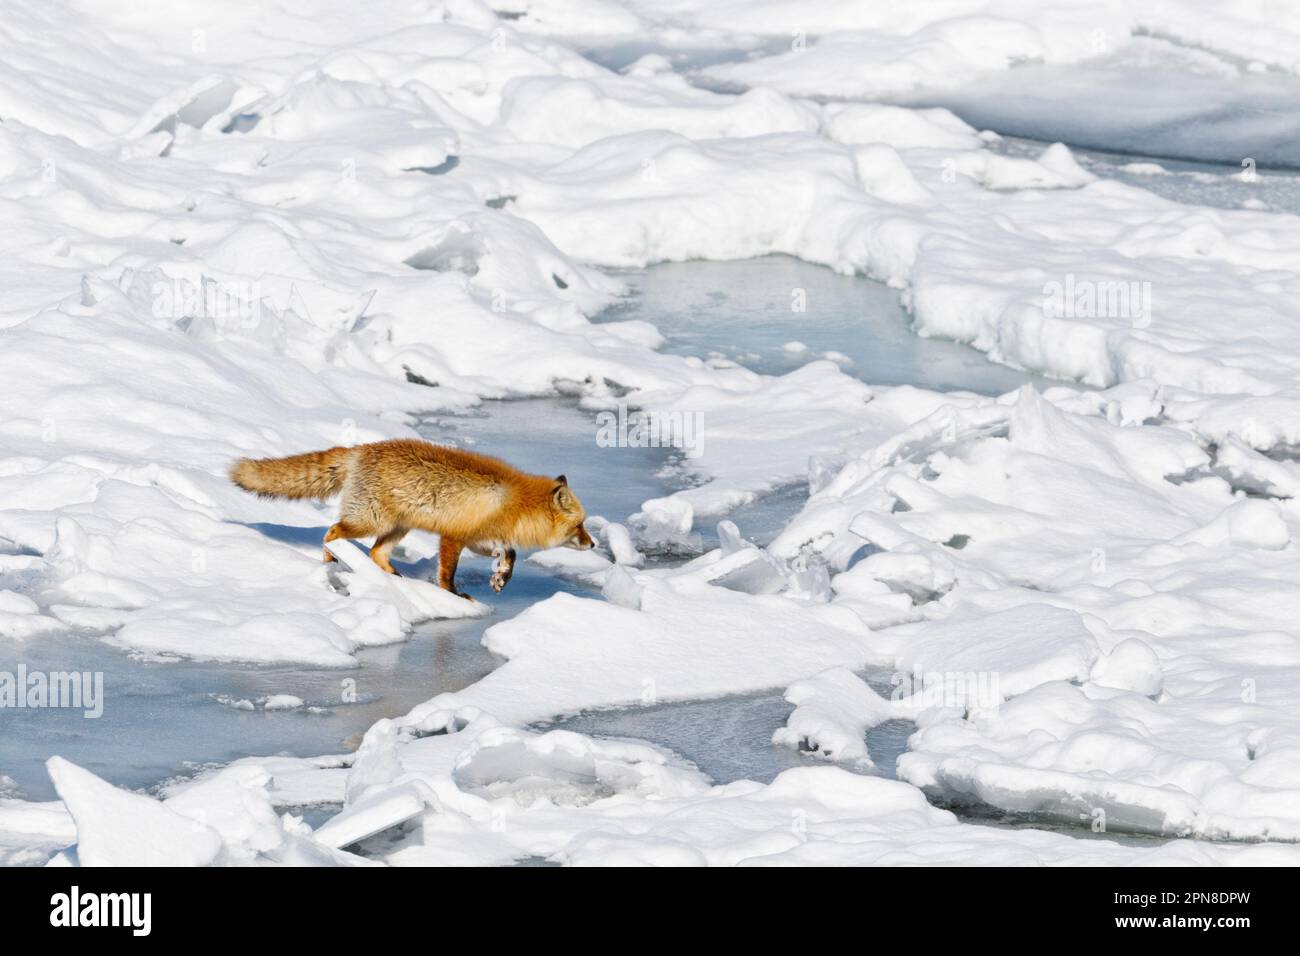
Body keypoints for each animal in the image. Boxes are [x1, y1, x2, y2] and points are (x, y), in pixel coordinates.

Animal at [229, 439, 594, 598]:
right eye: (579, 526)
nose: (593, 544)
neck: (516, 503)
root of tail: (359, 449)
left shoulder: (479, 538)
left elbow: (511, 554)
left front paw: (500, 578)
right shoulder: (453, 536)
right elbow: (448, 574)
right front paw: (453, 595)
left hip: (396, 528)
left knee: (377, 553)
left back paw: (392, 578)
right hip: (370, 521)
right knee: (332, 532)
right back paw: (331, 566)